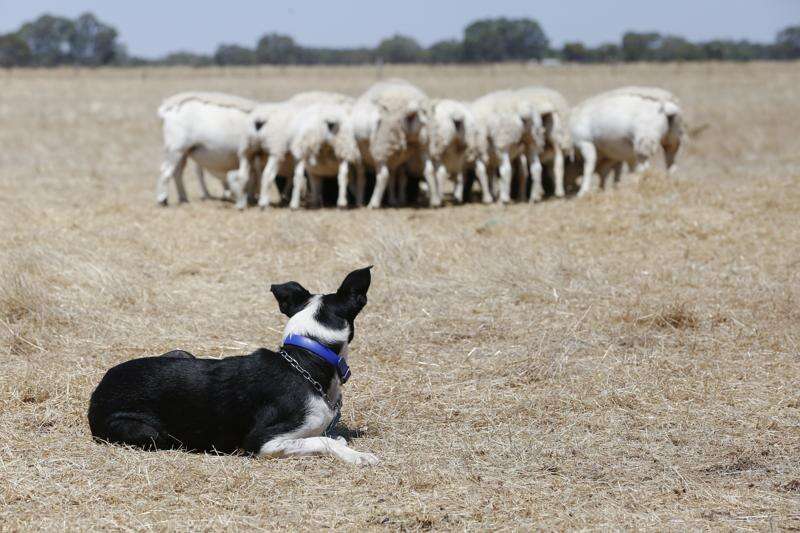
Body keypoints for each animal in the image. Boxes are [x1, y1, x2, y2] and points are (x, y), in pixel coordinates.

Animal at [352, 79, 435, 208]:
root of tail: (410, 109)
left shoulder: (359, 156)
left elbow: (361, 179)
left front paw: (359, 201)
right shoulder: (396, 159)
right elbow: (396, 178)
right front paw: (395, 200)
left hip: (381, 146)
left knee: (383, 175)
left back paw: (373, 203)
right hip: (424, 143)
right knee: (429, 169)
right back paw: (435, 201)